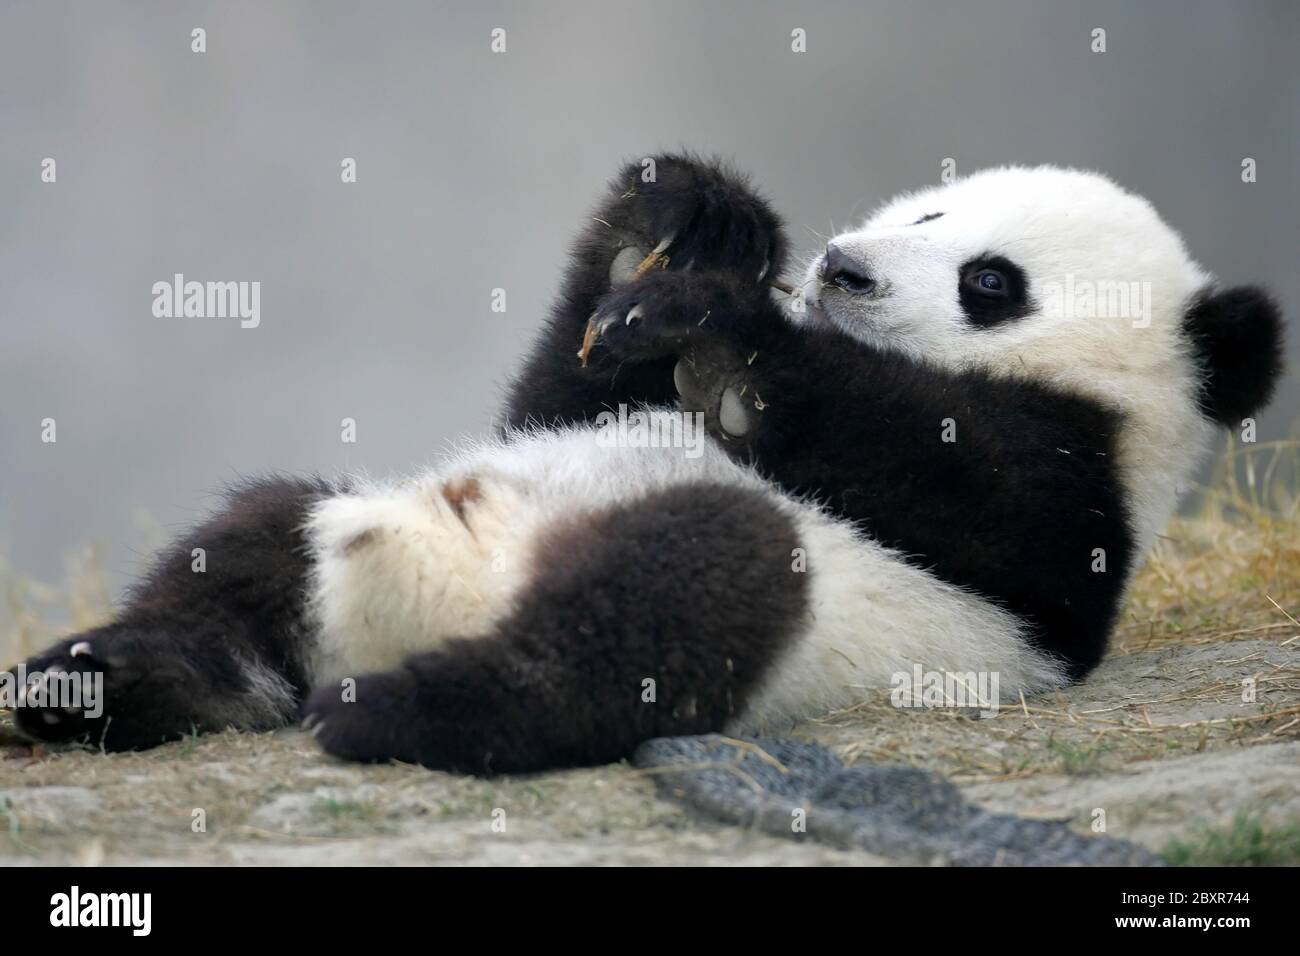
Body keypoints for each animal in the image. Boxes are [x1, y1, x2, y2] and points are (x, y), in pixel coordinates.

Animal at [12, 154, 1284, 774]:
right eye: (928, 210)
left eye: (989, 278)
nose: (845, 268)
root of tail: (410, 598)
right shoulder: (572, 405)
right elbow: (558, 396)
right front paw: (685, 220)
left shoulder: (1068, 512)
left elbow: (965, 484)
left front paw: (721, 318)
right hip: (338, 526)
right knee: (249, 545)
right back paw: (114, 681)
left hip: (762, 615)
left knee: (677, 594)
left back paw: (405, 709)